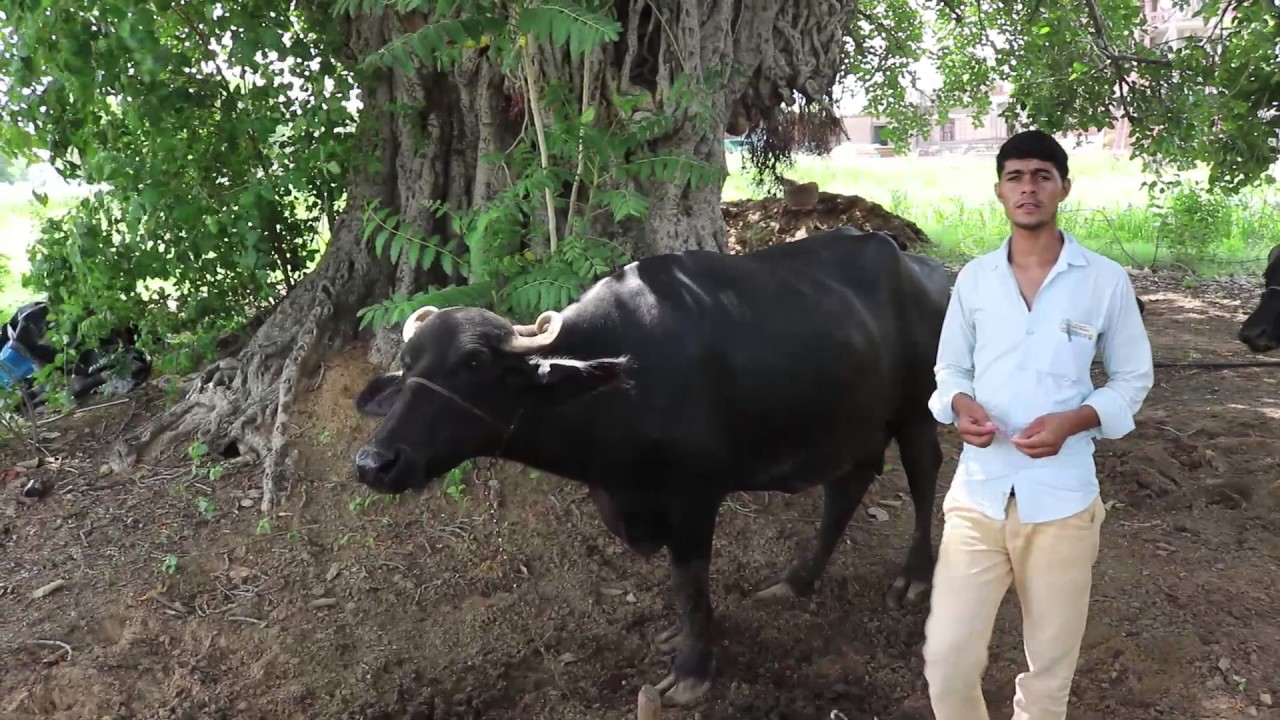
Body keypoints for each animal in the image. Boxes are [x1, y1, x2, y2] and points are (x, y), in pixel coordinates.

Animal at [352, 227, 950, 706]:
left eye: (473, 362)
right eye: (408, 363)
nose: (374, 462)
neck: (620, 385)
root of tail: (926, 270)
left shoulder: (694, 495)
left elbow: (689, 582)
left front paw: (691, 669)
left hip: (918, 408)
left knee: (925, 474)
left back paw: (914, 578)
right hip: (853, 421)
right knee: (847, 487)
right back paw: (795, 581)